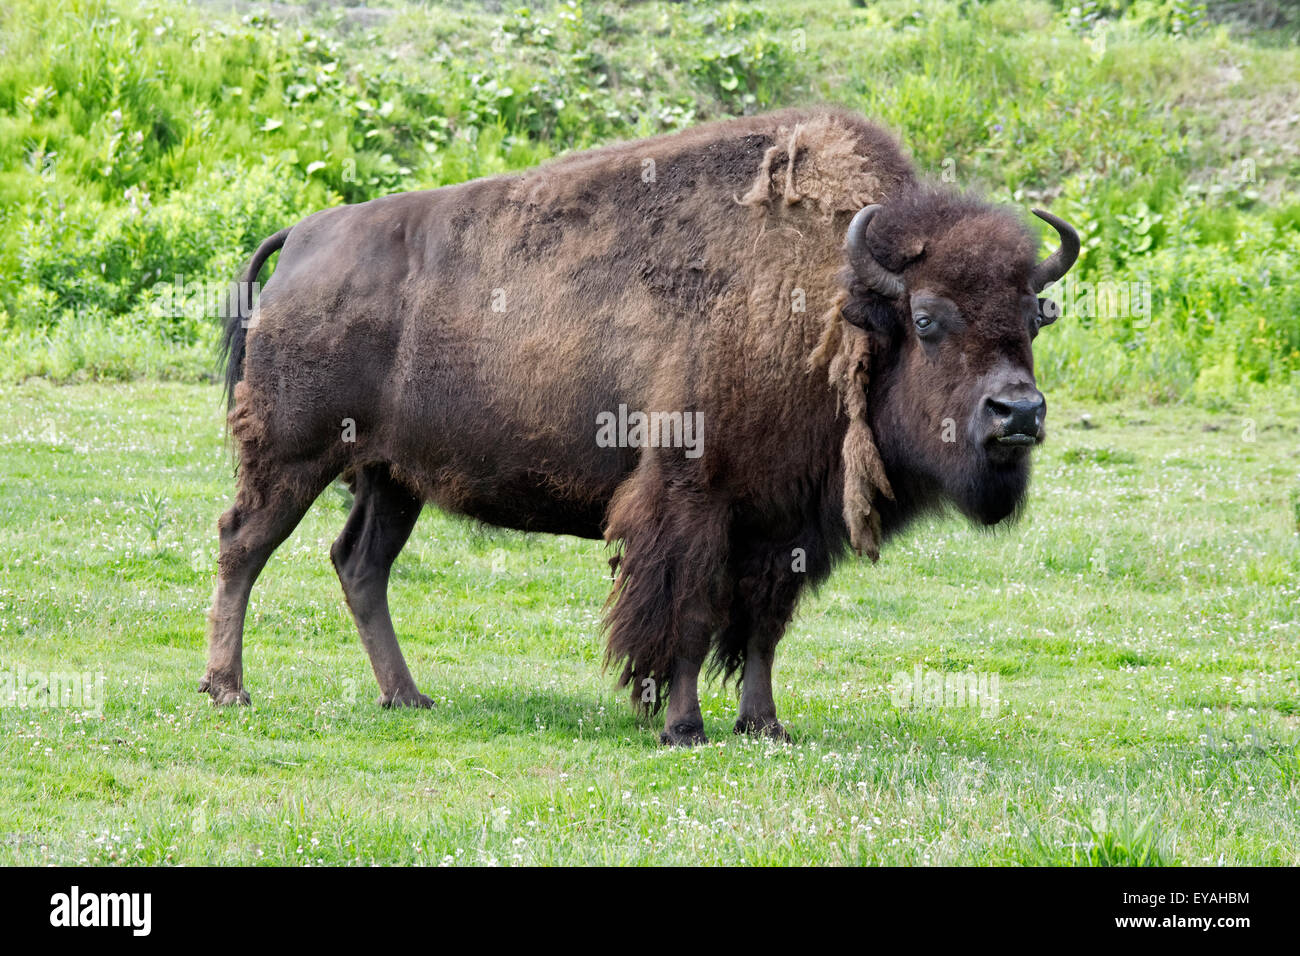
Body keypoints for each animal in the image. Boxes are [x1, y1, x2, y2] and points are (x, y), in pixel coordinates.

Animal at [202, 106, 1079, 745]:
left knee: (360, 564)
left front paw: (764, 726)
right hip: (292, 453)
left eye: (1034, 318)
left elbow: (761, 628)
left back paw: (407, 697)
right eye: (927, 320)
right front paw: (683, 727)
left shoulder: (785, 525)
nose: (1019, 413)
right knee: (244, 544)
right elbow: (685, 616)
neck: (830, 302)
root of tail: (301, 238)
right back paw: (228, 689)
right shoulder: (690, 502)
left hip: (392, 478)